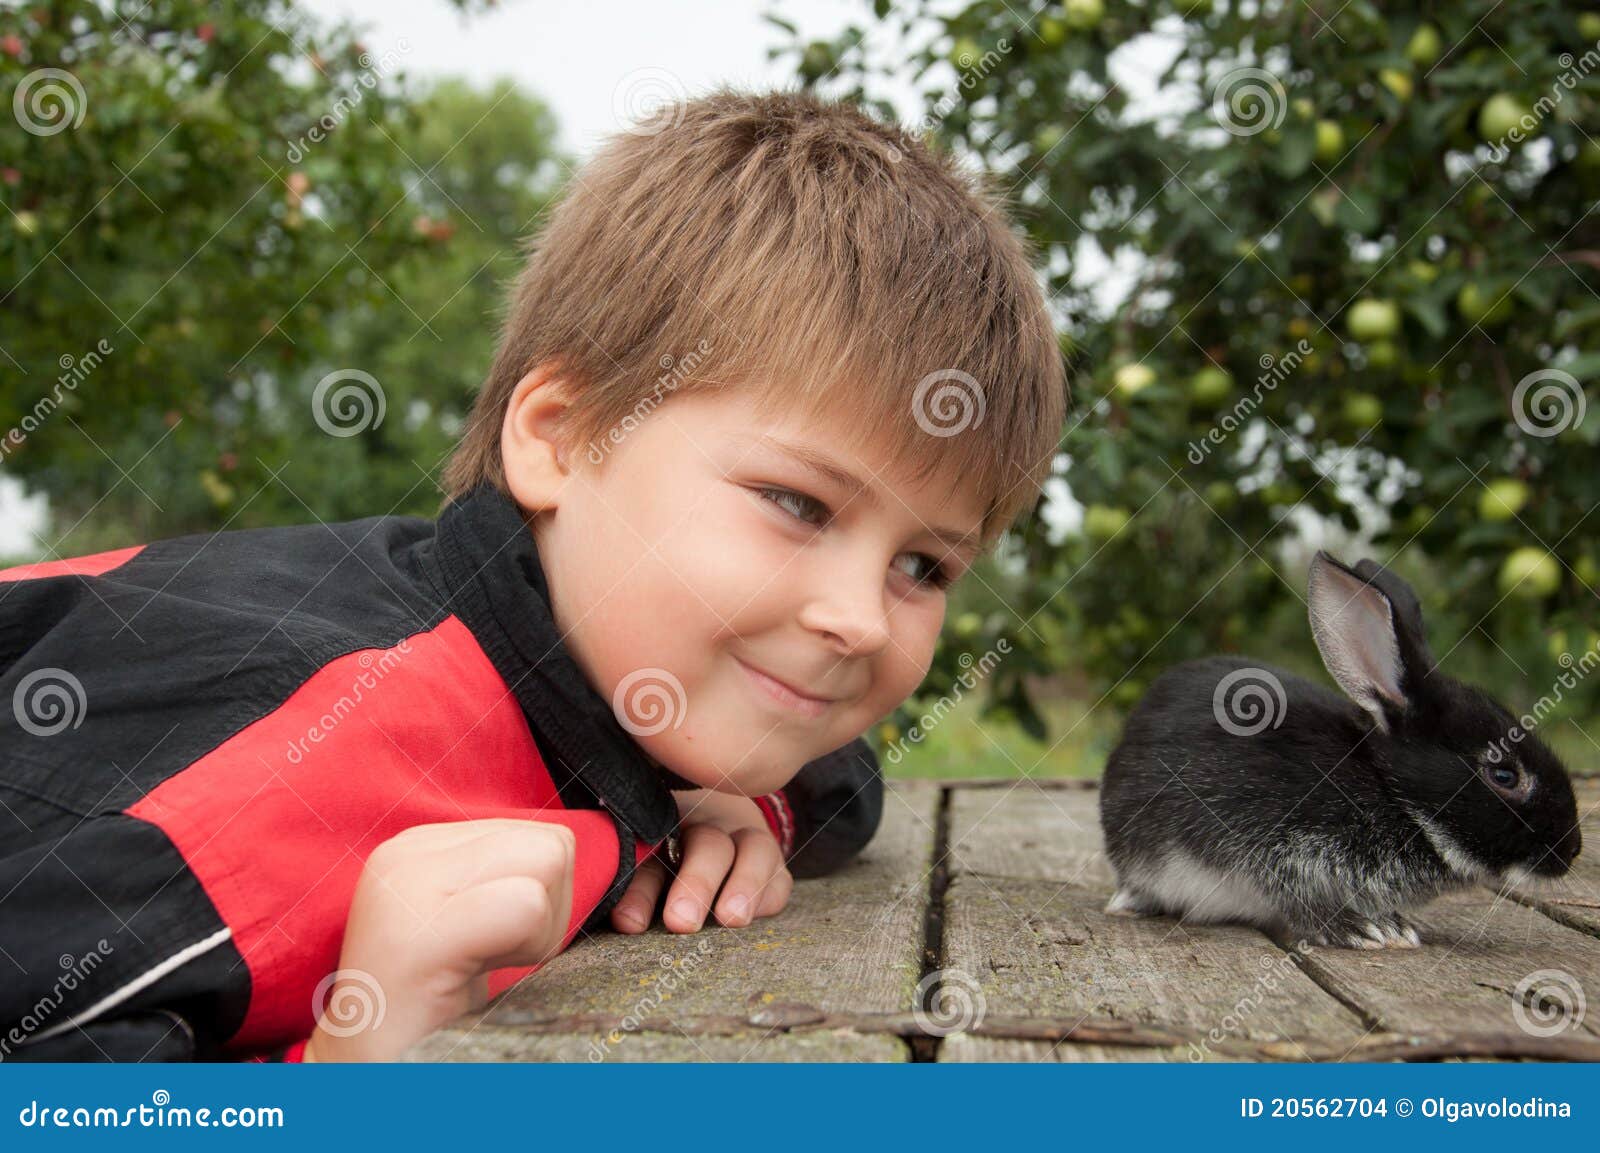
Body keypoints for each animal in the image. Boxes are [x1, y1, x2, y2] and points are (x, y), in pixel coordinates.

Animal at [1098, 549, 1582, 949]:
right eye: (1504, 775)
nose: (1571, 851)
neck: (1392, 793)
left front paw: (1394, 925)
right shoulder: (1266, 845)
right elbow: (1293, 896)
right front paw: (1363, 929)